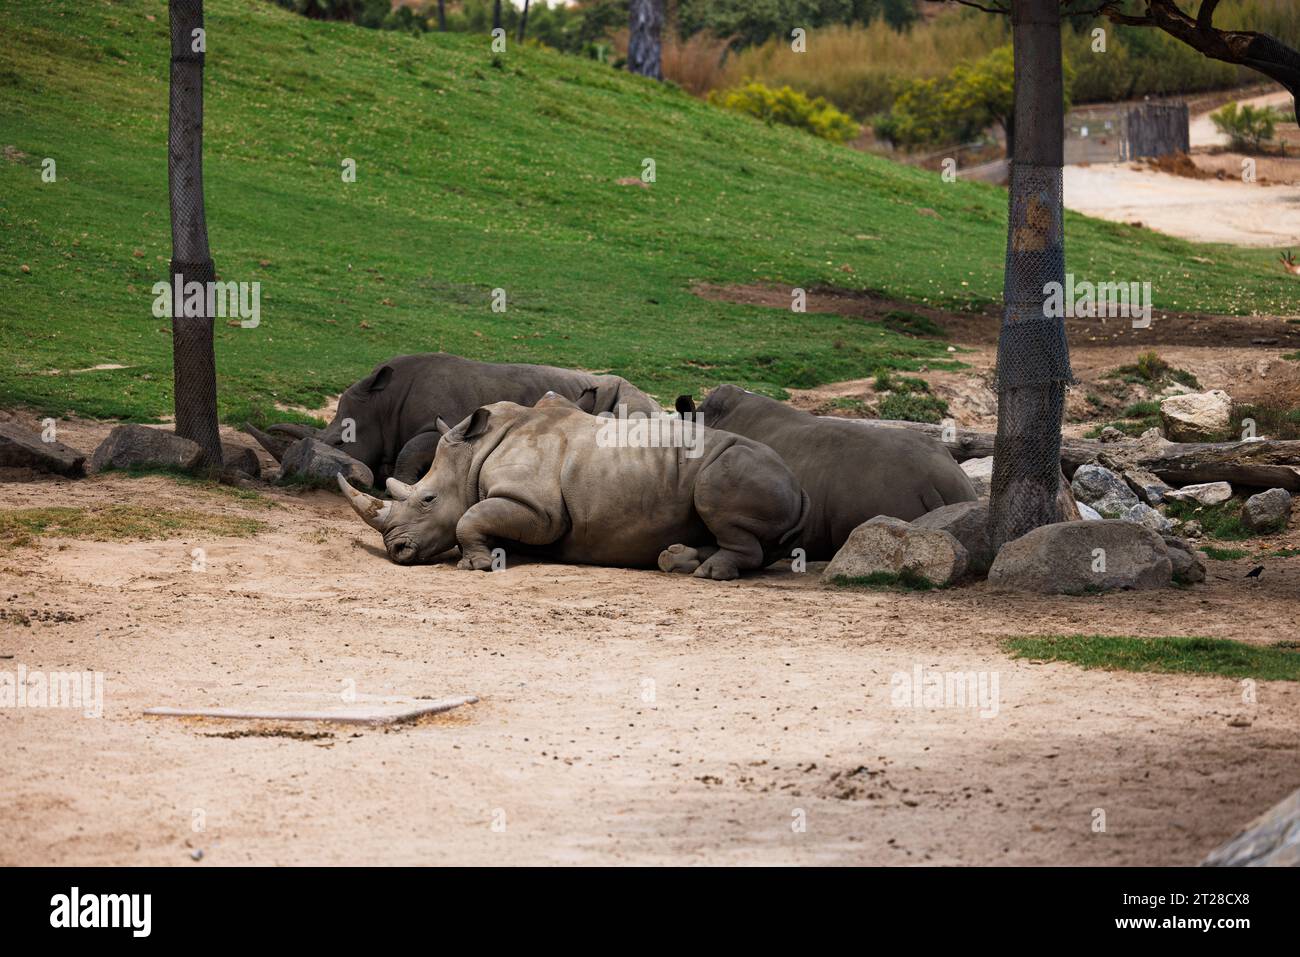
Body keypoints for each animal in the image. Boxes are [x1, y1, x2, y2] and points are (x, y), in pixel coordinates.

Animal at [249, 353, 661, 484]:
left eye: (338, 442)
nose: (287, 475)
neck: (384, 406)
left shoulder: (447, 423)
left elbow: (412, 449)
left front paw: (402, 483)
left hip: (636, 406)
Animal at [337, 395, 809, 580]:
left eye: (427, 500)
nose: (397, 551)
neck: (473, 455)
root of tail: (801, 486)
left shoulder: (540, 510)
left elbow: (470, 515)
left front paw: (476, 566)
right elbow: (479, 516)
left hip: (740, 466)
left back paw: (709, 573)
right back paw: (676, 559)